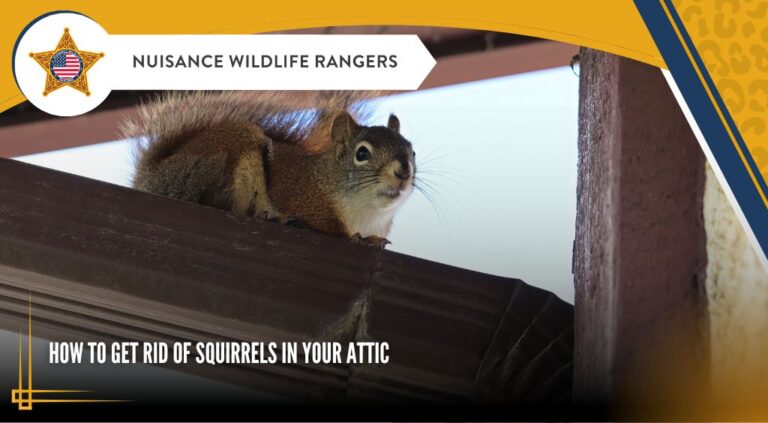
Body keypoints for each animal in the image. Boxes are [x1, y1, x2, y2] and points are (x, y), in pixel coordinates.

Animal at [123, 91, 416, 247]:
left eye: (412, 151)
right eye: (362, 154)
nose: (403, 172)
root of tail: (151, 178)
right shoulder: (307, 201)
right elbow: (330, 229)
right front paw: (360, 239)